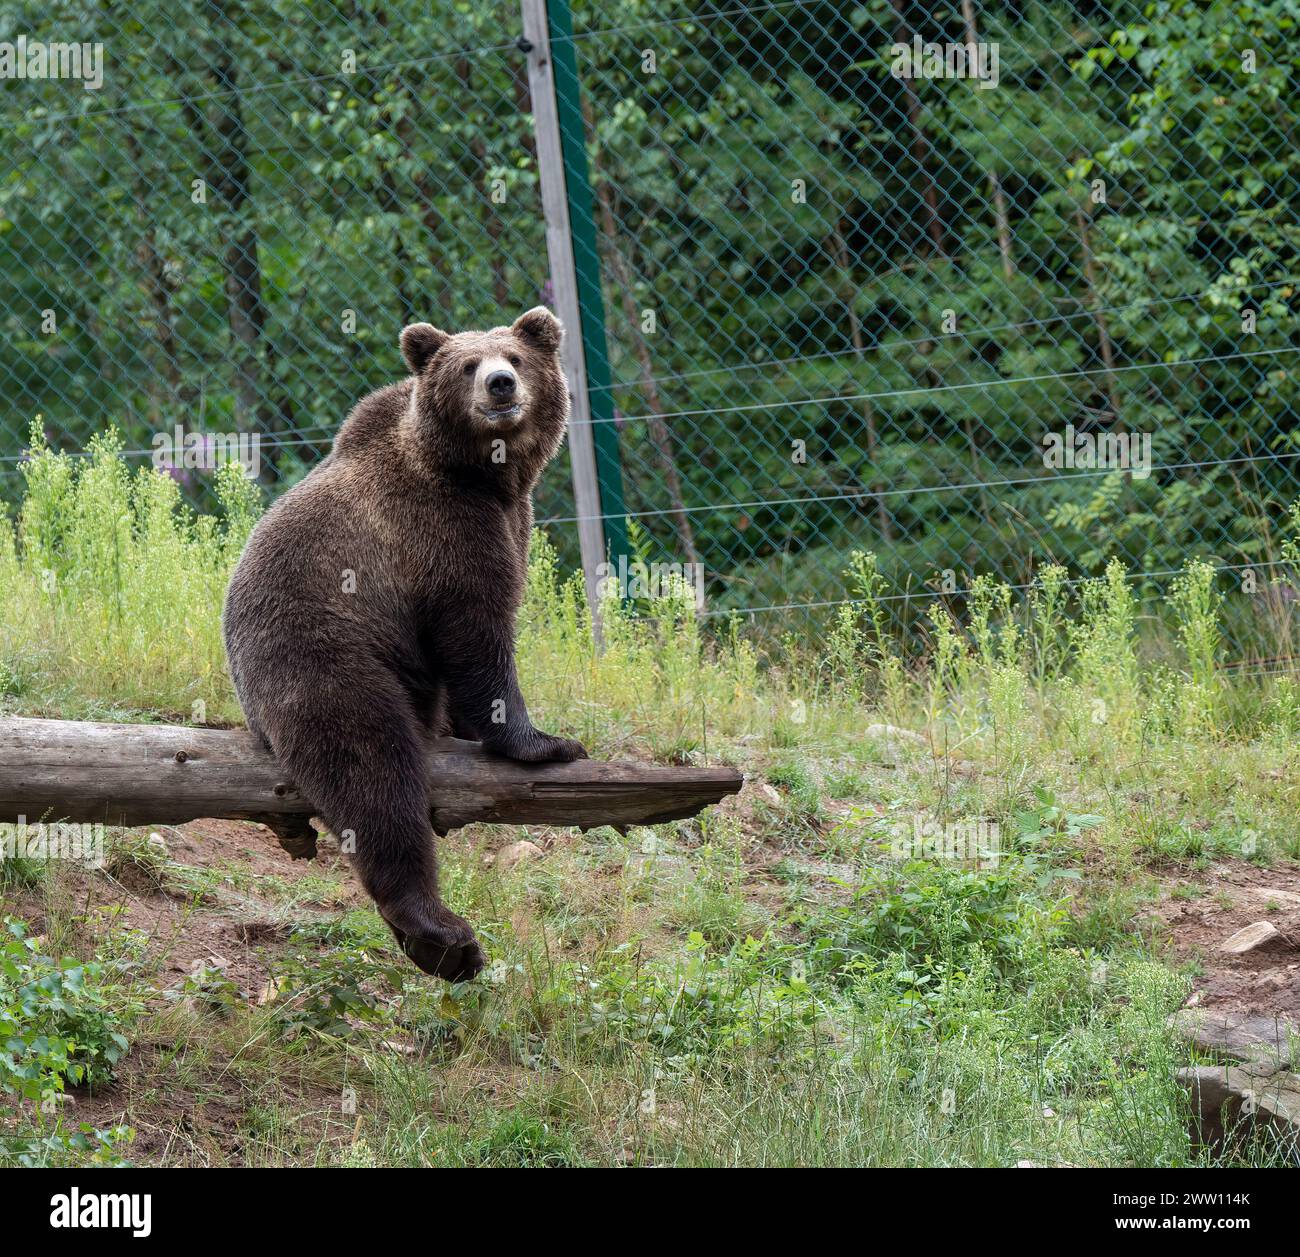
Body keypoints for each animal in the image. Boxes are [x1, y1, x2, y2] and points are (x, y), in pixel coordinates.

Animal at [222, 307, 587, 982]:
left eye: (515, 357)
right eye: (468, 365)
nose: (500, 385)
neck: (485, 476)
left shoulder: (509, 519)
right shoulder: (442, 535)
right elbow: (477, 634)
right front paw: (545, 742)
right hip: (324, 658)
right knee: (373, 773)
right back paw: (442, 935)